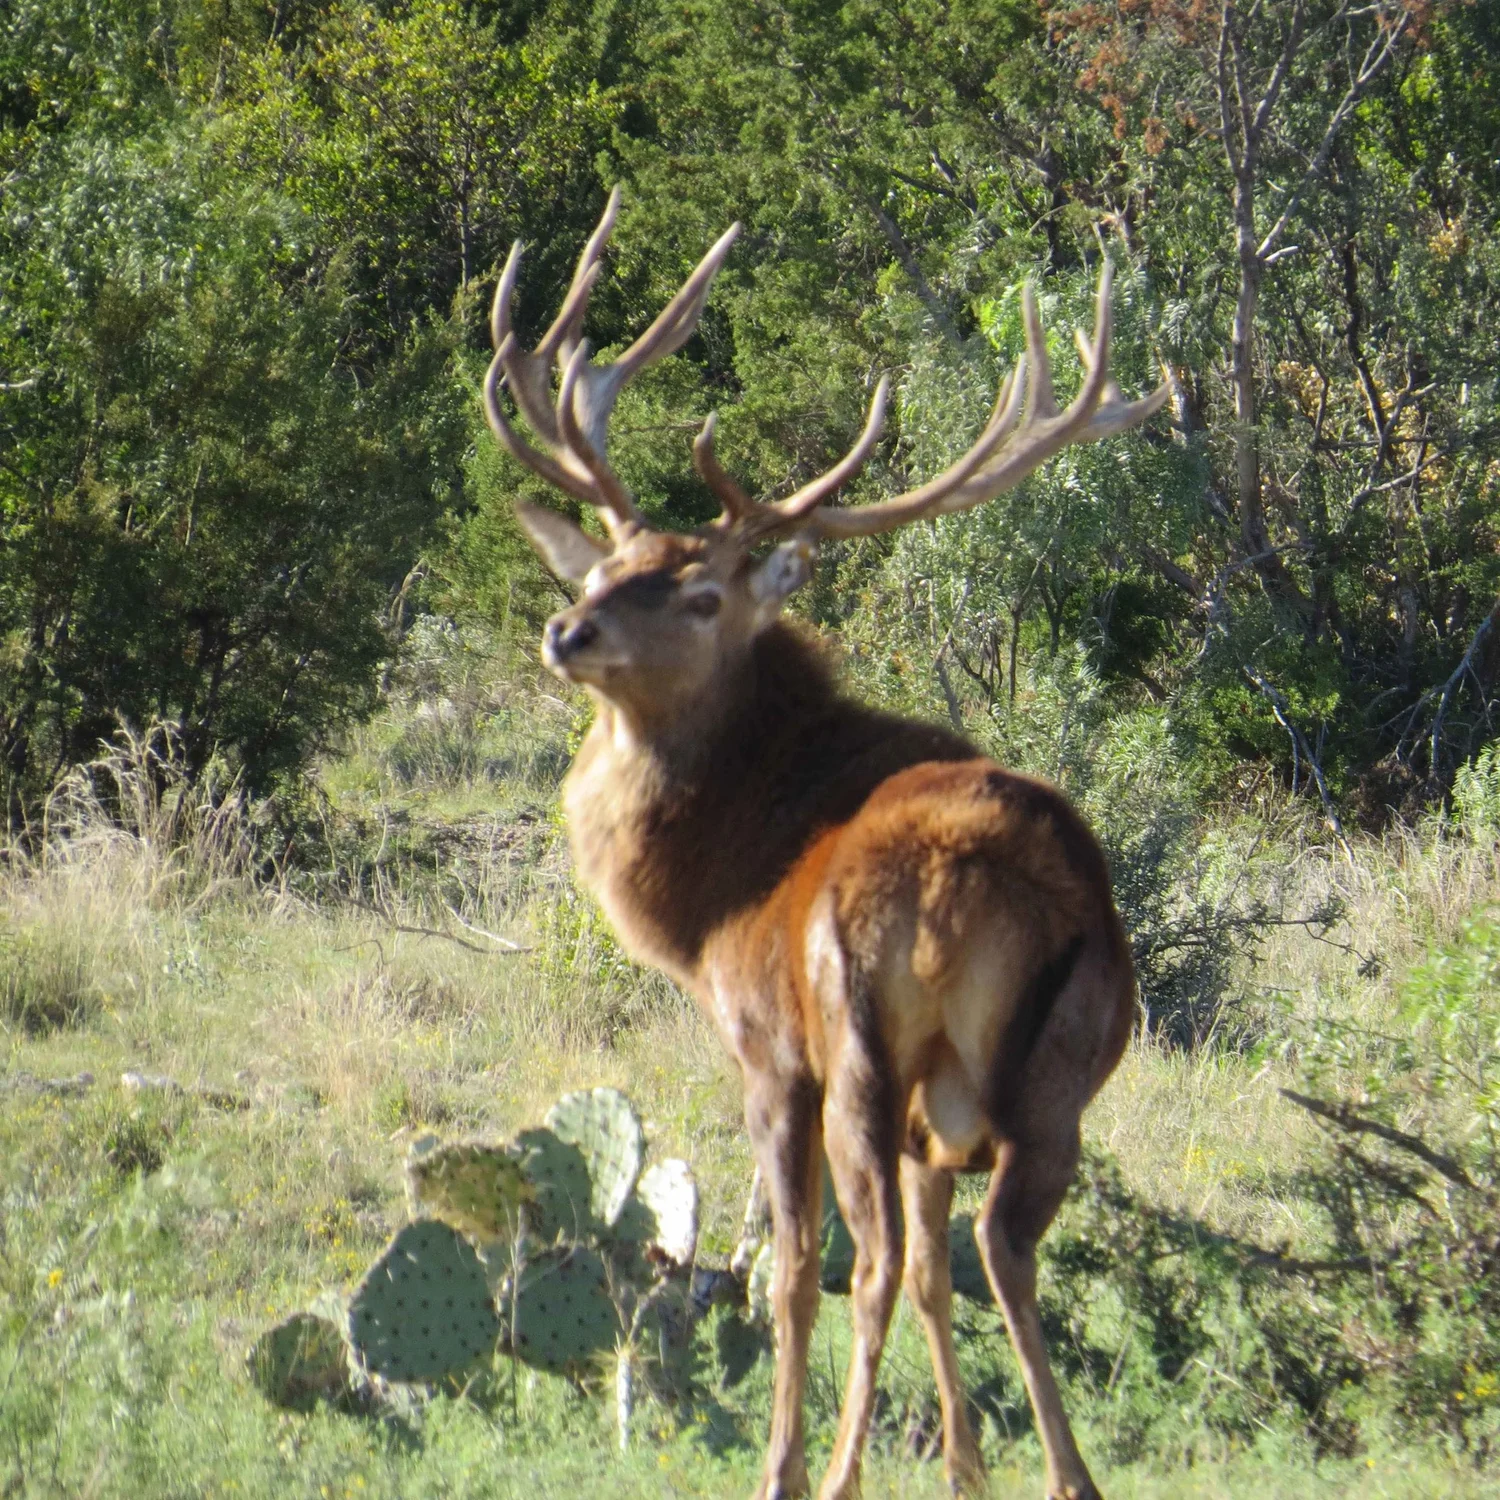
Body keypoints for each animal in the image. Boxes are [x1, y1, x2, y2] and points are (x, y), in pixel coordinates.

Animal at [482, 187, 1167, 1500]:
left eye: (703, 594)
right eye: (610, 564)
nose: (568, 629)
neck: (705, 894)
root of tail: (977, 878)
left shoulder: (764, 1046)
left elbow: (790, 1270)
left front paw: (791, 1462)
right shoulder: (938, 1121)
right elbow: (943, 1276)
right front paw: (963, 1468)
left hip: (855, 1037)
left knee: (873, 1263)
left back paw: (835, 1470)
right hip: (1066, 1058)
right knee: (998, 1247)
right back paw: (1069, 1475)